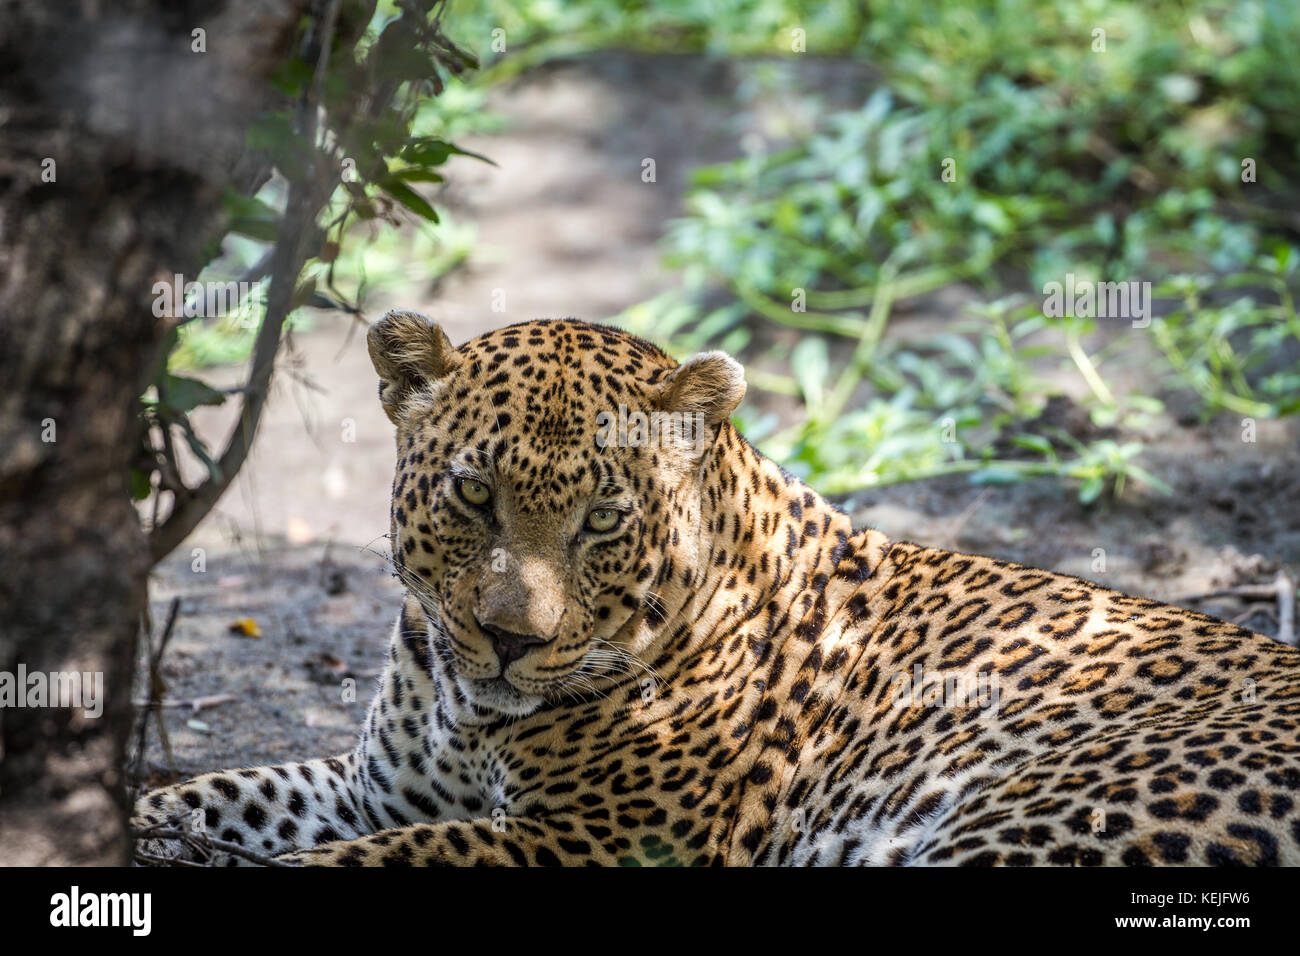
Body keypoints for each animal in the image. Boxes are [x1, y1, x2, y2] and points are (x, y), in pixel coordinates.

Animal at [133, 311, 1300, 866]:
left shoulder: (588, 843)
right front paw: (138, 816)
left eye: (603, 518)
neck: (465, 711)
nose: (510, 639)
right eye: (473, 493)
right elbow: (227, 794)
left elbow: (372, 865)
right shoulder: (380, 787)